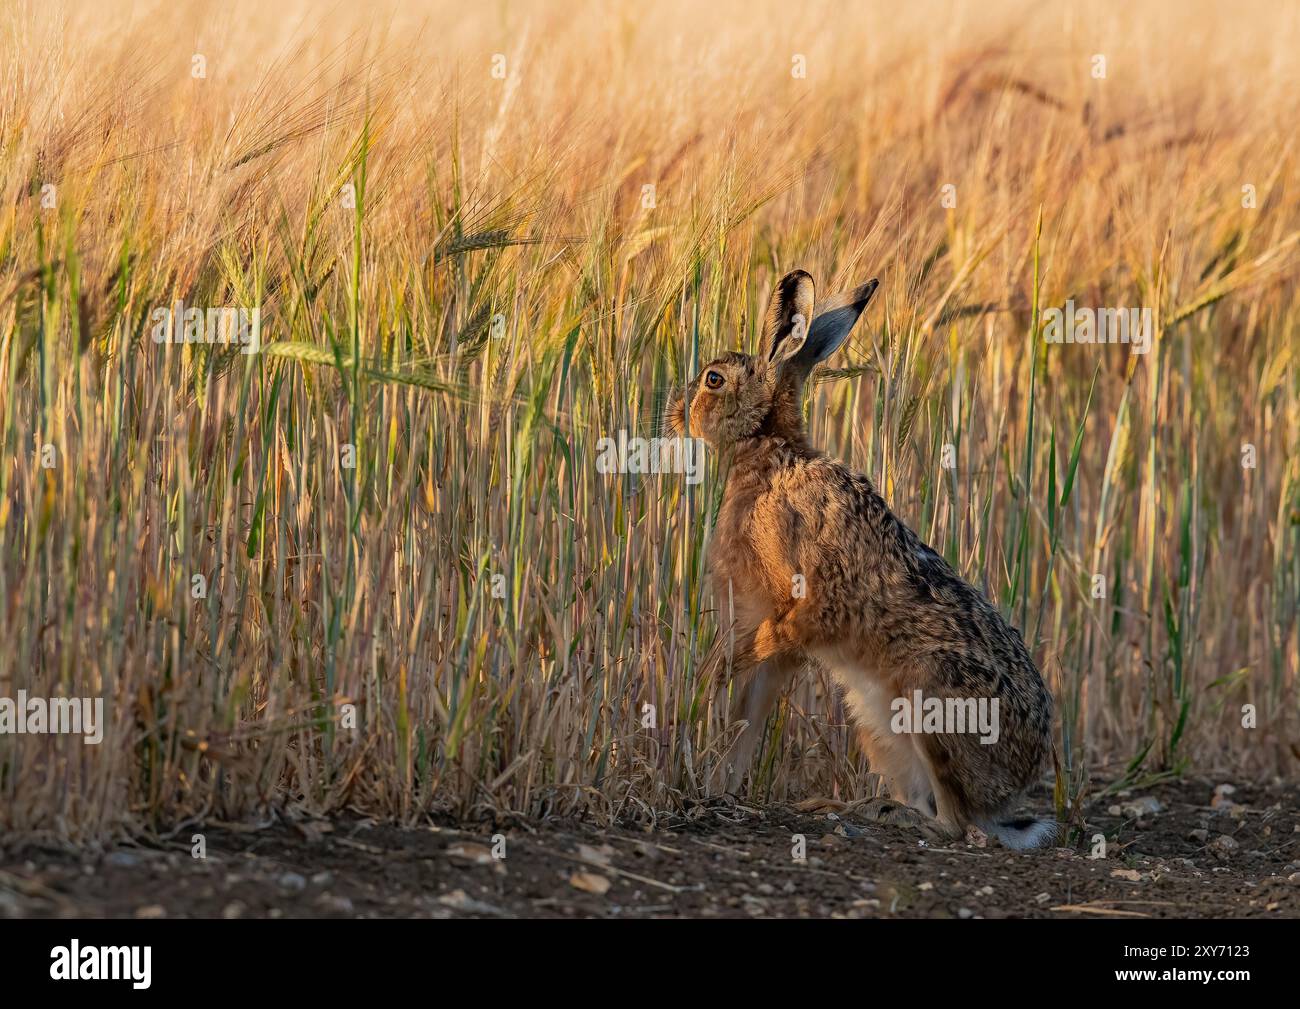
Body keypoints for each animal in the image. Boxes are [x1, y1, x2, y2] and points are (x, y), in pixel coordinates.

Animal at [665, 269, 1056, 849]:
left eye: (714, 379)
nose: (675, 414)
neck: (769, 455)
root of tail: (1011, 792)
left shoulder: (798, 609)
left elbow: (751, 662)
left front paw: (706, 676)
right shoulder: (771, 636)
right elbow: (746, 719)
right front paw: (717, 786)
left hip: (931, 695)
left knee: (956, 825)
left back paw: (866, 811)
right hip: (877, 727)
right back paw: (843, 805)